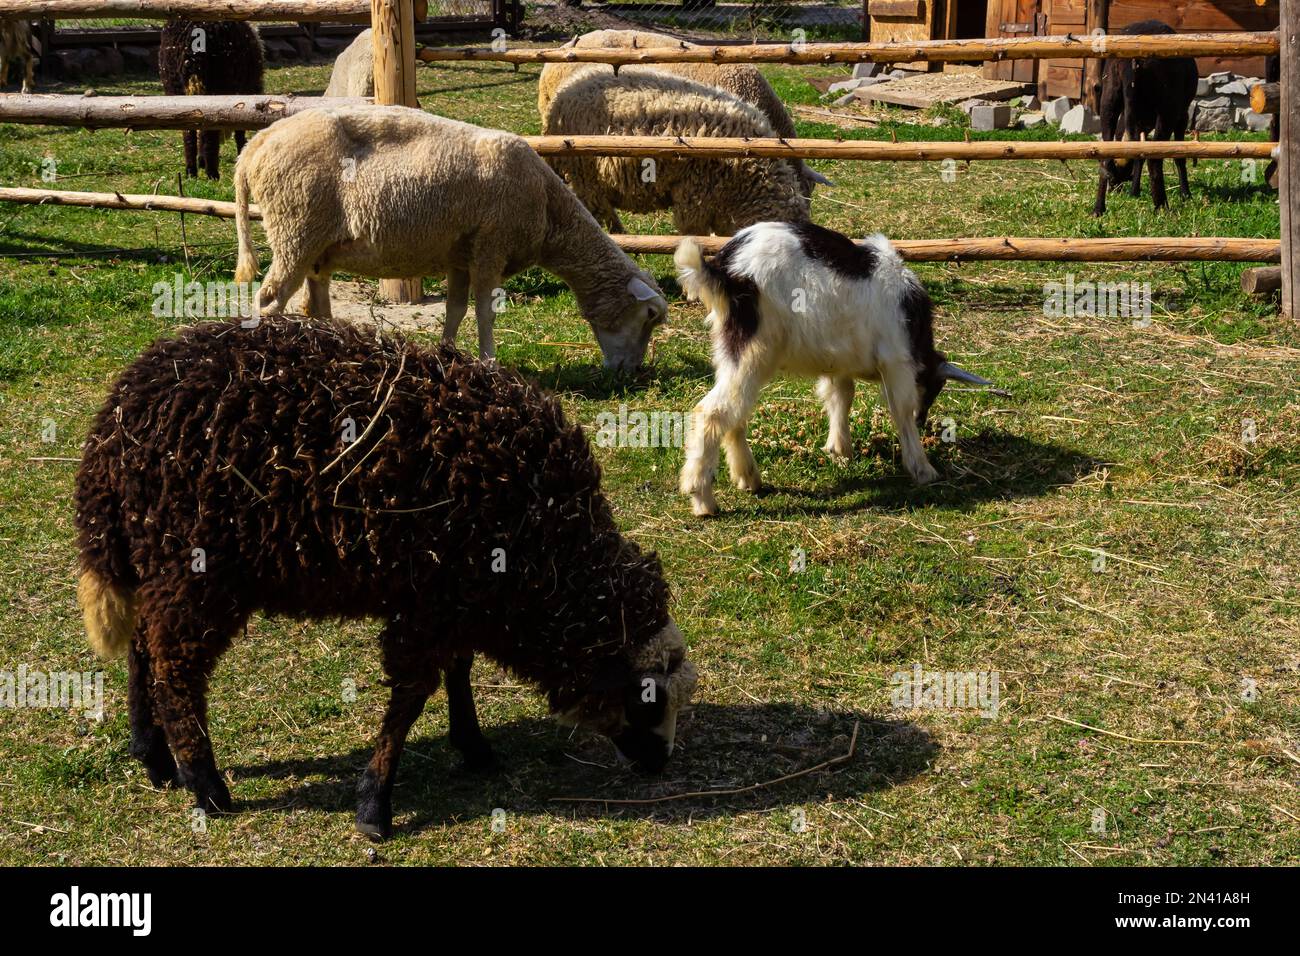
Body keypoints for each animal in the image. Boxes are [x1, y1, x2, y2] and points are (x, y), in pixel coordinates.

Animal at [75, 316, 699, 838]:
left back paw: (152, 755)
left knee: (142, 642)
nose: (660, 764)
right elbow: (409, 699)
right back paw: (205, 785)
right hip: (195, 568)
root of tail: (116, 419)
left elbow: (457, 670)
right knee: (175, 667)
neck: (552, 555)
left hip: (156, 561)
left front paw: (473, 746)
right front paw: (375, 805)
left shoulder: (457, 597)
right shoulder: (433, 603)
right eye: (646, 698)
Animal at [159, 19, 265, 180]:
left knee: (189, 133)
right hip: (217, 86)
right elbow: (240, 131)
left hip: (177, 89)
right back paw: (212, 173)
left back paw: (191, 171)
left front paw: (201, 160)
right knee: (210, 132)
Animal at [233, 105, 668, 371]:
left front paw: (448, 352)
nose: (629, 372)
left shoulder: (462, 253)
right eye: (648, 316)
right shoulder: (491, 246)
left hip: (315, 243)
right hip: (295, 228)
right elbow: (485, 311)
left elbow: (456, 308)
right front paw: (490, 361)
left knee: (315, 302)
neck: (549, 210)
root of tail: (254, 147)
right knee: (269, 300)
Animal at [674, 221, 999, 516]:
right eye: (933, 387)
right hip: (754, 349)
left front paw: (839, 450)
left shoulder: (839, 361)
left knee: (735, 411)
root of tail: (725, 269)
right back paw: (703, 501)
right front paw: (922, 469)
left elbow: (840, 395)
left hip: (733, 351)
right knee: (713, 412)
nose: (924, 421)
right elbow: (901, 410)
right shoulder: (897, 360)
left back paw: (748, 478)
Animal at [1092, 20, 1198, 216]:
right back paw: (1162, 205)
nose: (1114, 187)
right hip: (1168, 110)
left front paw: (1134, 191)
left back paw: (1098, 208)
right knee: (1155, 158)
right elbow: (1178, 156)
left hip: (1109, 97)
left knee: (1105, 155)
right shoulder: (1181, 116)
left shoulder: (1138, 121)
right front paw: (1186, 194)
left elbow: (1139, 154)